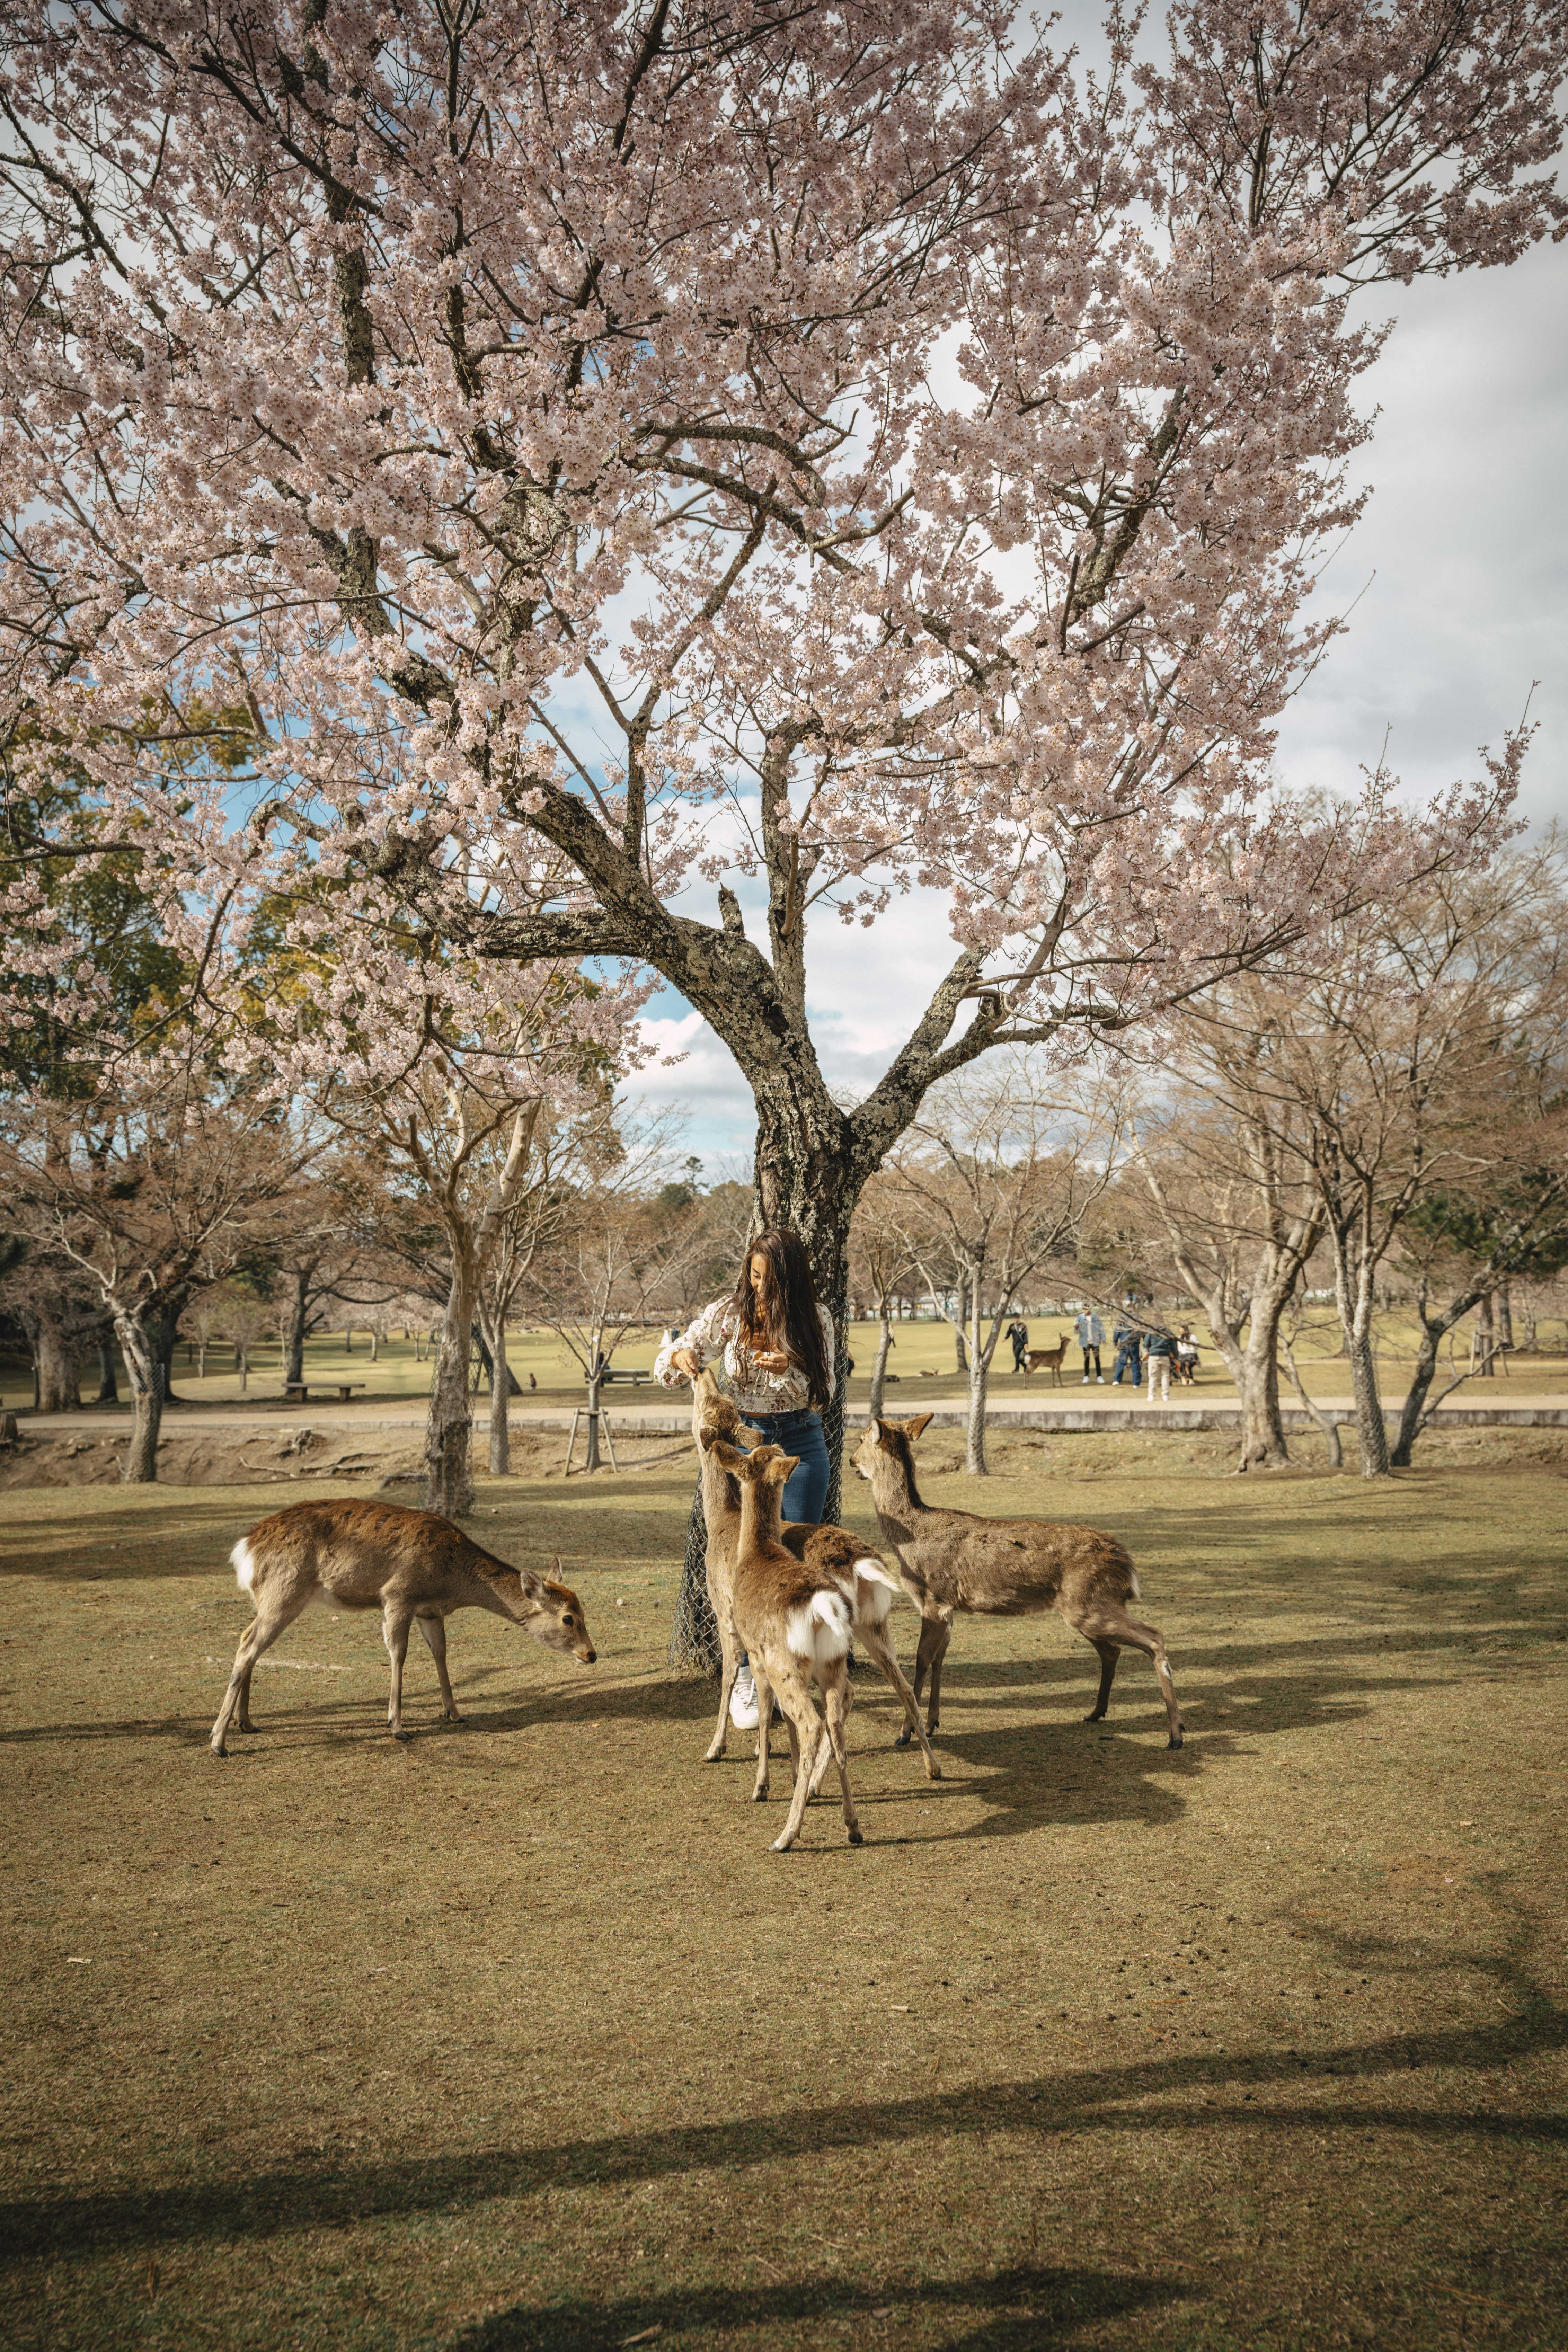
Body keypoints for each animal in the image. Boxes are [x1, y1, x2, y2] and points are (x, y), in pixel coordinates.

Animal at [209, 1499, 596, 1756]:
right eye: (568, 1618)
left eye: (583, 1608)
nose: (591, 1654)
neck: (451, 1581)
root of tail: (245, 1547)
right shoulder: (398, 1594)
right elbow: (399, 1652)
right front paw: (397, 1726)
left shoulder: (430, 1610)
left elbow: (440, 1651)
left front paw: (455, 1713)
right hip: (285, 1590)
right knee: (248, 1644)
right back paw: (218, 1741)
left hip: (266, 1596)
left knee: (250, 1641)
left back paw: (247, 1722)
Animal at [690, 1372, 938, 1785]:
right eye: (721, 1401)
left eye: (709, 1401)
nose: (702, 1373)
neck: (723, 1520)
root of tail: (861, 1565)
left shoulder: (725, 1611)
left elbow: (729, 1676)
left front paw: (715, 1748)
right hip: (874, 1623)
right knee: (899, 1684)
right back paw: (931, 1764)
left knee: (843, 1696)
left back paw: (817, 1780)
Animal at [703, 1438, 871, 1850]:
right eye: (769, 1450)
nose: (778, 1442)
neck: (756, 1553)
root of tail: (823, 1608)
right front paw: (794, 1775)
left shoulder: (756, 1652)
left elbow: (766, 1715)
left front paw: (761, 1785)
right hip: (831, 1666)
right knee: (836, 1727)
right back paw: (852, 1825)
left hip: (785, 1663)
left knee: (811, 1723)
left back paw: (785, 1835)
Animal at [852, 1414, 1183, 1749]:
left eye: (861, 1439)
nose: (852, 1461)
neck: (909, 1541)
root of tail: (1126, 1565)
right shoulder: (949, 1606)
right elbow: (939, 1657)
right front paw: (932, 1723)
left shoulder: (934, 1597)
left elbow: (921, 1659)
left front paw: (906, 1731)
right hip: (1086, 1608)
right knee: (1112, 1650)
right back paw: (1096, 1712)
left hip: (1089, 1603)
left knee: (1154, 1637)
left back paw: (1176, 1734)